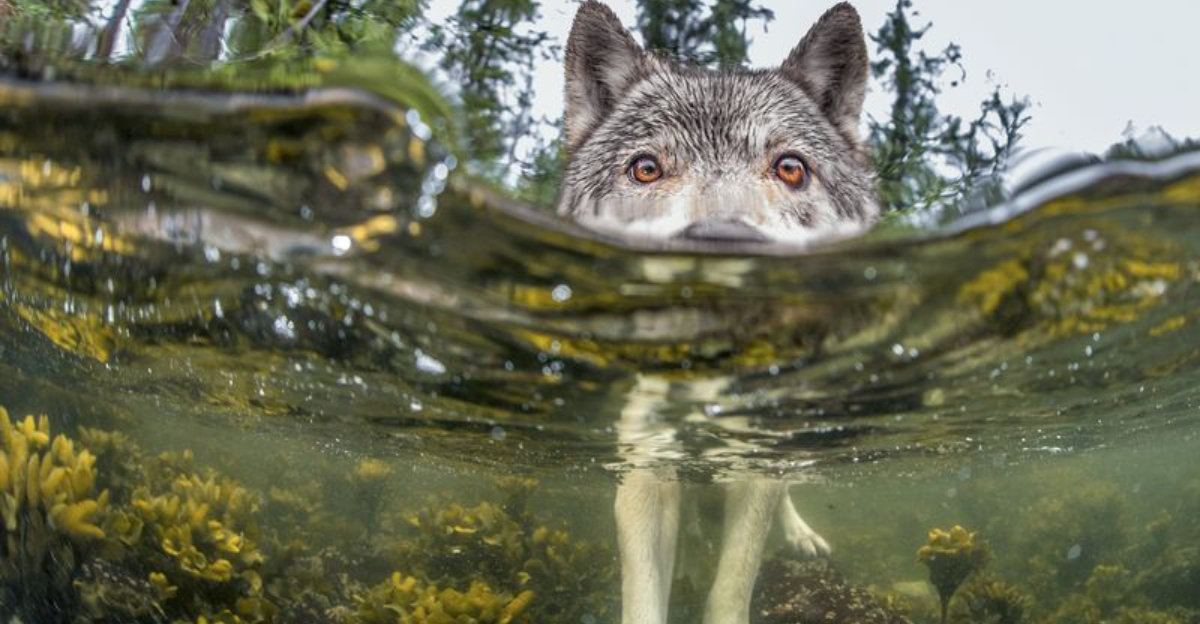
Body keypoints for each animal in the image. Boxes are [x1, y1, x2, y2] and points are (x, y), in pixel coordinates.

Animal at [556, 3, 877, 624]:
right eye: (647, 169)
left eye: (790, 168)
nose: (722, 244)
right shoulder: (646, 472)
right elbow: (644, 596)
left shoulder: (752, 468)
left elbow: (732, 586)